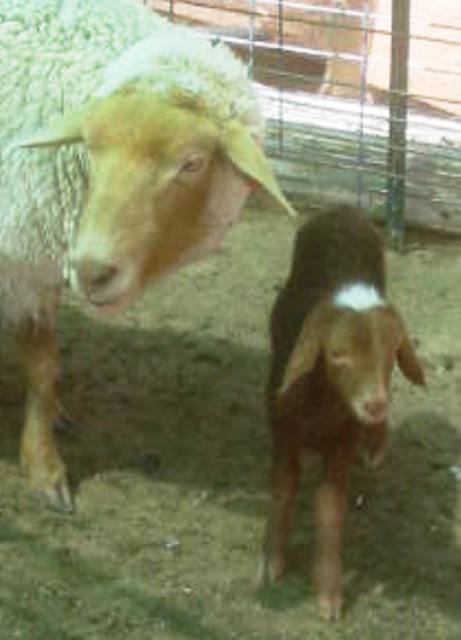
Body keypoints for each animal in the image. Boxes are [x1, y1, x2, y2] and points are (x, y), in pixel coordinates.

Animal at [0, 0, 295, 513]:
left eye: (192, 163)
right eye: (90, 146)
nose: (91, 270)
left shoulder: (35, 267)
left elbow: (45, 363)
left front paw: (48, 421)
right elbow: (39, 361)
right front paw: (43, 467)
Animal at [261, 205, 425, 621]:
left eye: (391, 354)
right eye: (337, 356)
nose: (374, 404)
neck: (324, 405)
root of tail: (344, 208)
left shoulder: (344, 441)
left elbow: (330, 509)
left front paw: (328, 597)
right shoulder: (282, 425)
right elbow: (284, 486)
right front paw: (272, 562)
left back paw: (377, 444)